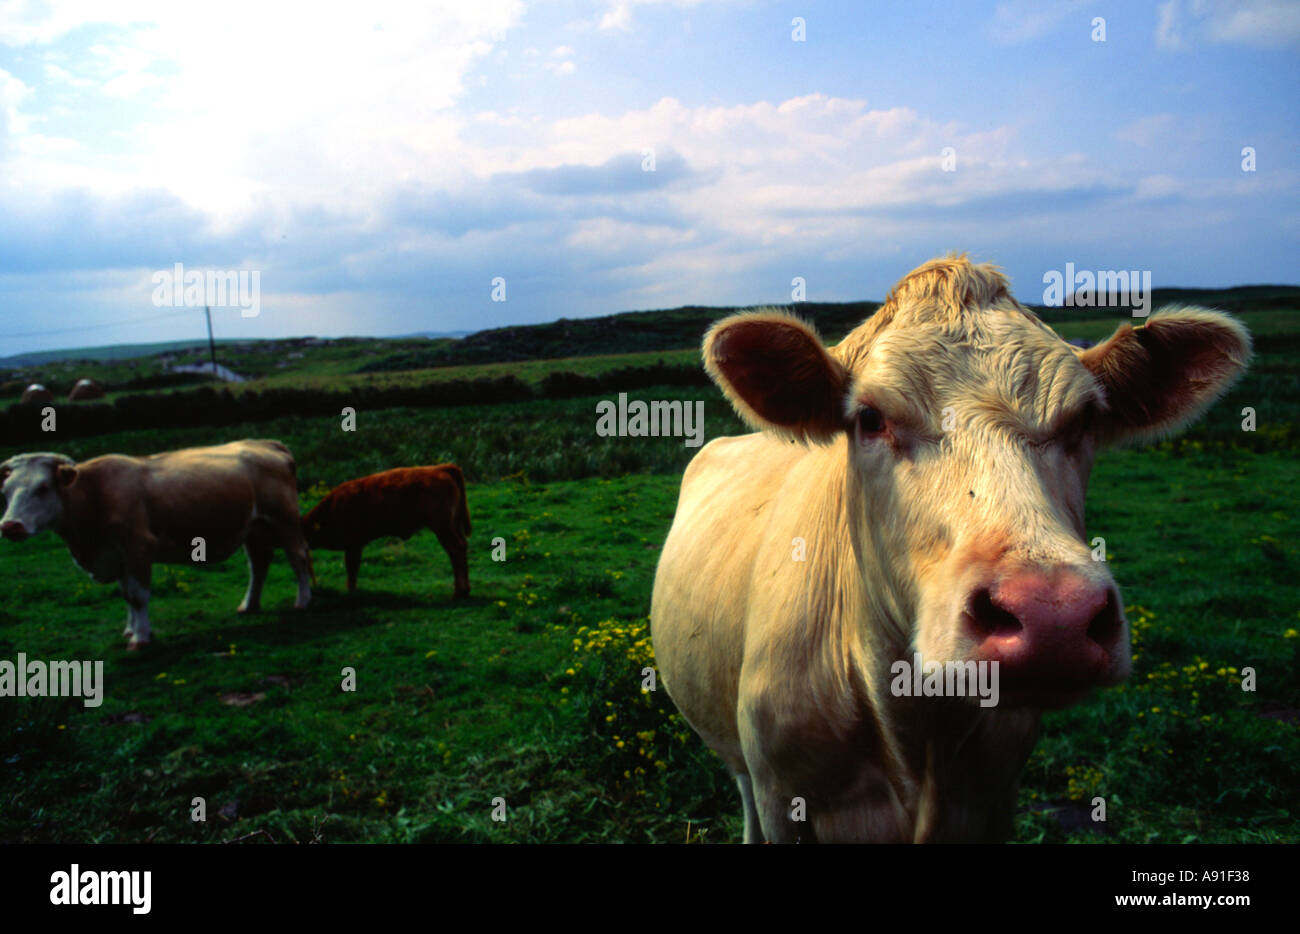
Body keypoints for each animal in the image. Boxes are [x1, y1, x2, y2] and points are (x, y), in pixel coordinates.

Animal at [0, 439, 312, 649]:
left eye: (43, 488)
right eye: (5, 491)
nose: (10, 526)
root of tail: (265, 444)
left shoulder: (137, 547)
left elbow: (138, 595)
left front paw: (140, 638)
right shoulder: (118, 556)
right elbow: (127, 595)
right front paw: (131, 630)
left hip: (284, 520)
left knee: (298, 557)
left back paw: (303, 601)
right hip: (254, 528)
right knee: (259, 564)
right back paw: (249, 605)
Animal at [302, 465, 471, 598]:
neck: (332, 507)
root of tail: (440, 468)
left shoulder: (353, 545)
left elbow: (351, 568)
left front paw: (350, 590)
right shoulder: (356, 545)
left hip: (443, 528)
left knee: (455, 549)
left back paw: (458, 593)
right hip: (454, 525)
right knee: (462, 547)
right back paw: (465, 590)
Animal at [651, 255, 1251, 843]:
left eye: (1084, 419)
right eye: (870, 418)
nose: (1053, 615)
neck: (916, 741)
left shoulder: (993, 799)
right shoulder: (781, 796)